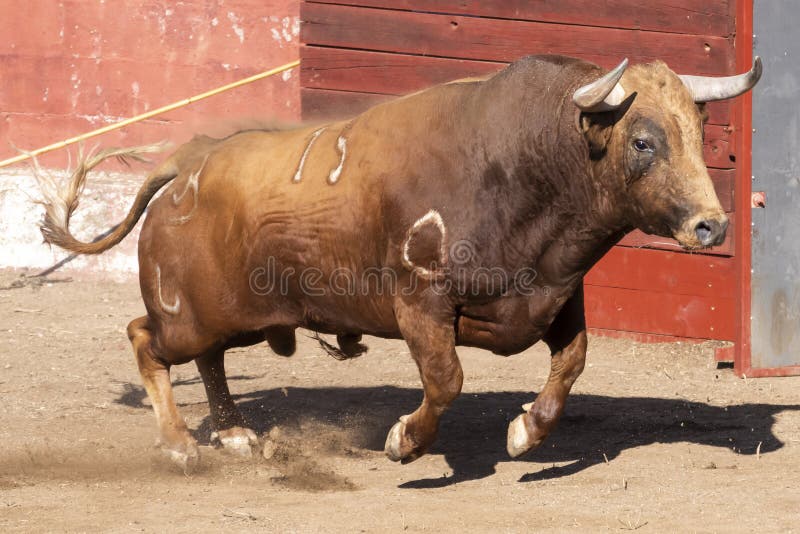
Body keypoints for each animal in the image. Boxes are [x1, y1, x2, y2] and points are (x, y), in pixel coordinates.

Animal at [34, 55, 761, 472]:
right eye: (643, 140)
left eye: (701, 132)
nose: (712, 223)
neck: (524, 163)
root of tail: (190, 159)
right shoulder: (421, 303)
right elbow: (445, 380)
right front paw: (405, 441)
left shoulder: (557, 294)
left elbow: (572, 364)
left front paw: (524, 432)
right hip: (188, 314)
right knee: (145, 338)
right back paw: (182, 442)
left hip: (234, 318)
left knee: (207, 358)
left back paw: (236, 435)